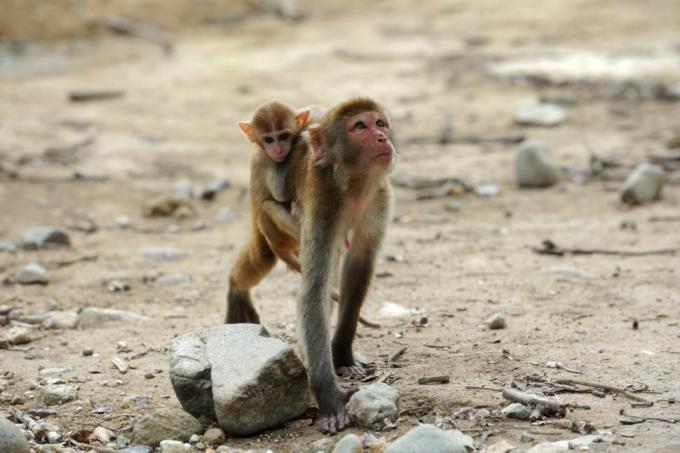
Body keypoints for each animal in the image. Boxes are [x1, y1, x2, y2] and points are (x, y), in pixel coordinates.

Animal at [300, 97, 396, 432]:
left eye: (380, 123)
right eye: (360, 126)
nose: (382, 138)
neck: (353, 184)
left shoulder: (380, 197)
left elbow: (358, 267)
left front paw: (342, 356)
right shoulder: (322, 204)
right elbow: (315, 289)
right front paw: (329, 397)